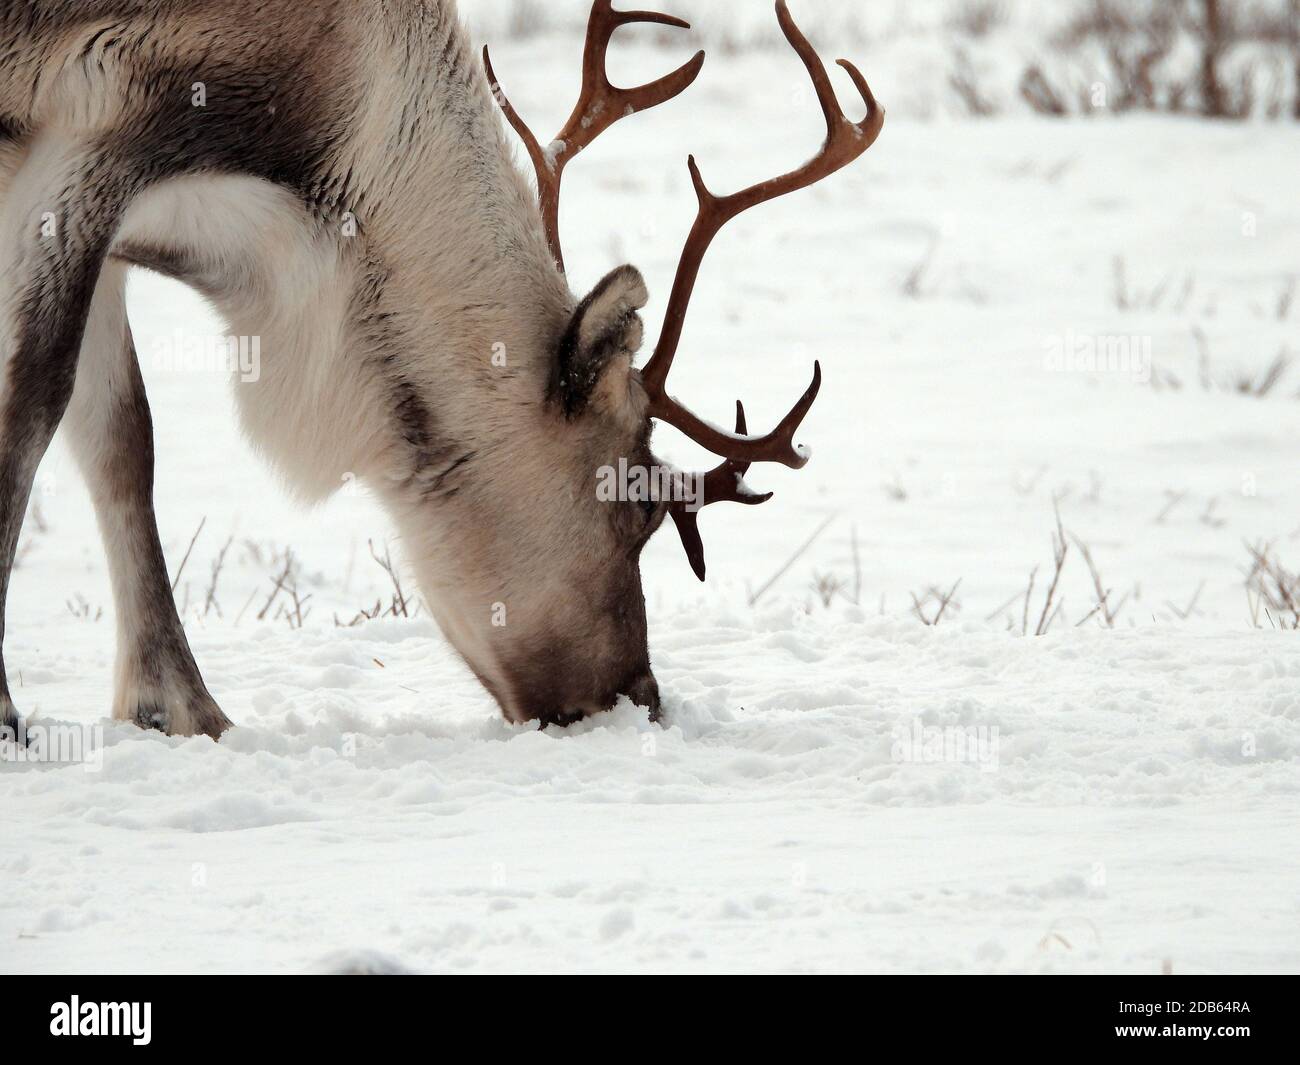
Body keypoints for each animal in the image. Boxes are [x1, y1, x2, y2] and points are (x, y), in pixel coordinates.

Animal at [0, 0, 882, 738]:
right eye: (641, 511)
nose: (641, 698)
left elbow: (122, 440)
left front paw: (177, 708)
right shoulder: (85, 135)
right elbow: (30, 415)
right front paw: (12, 718)